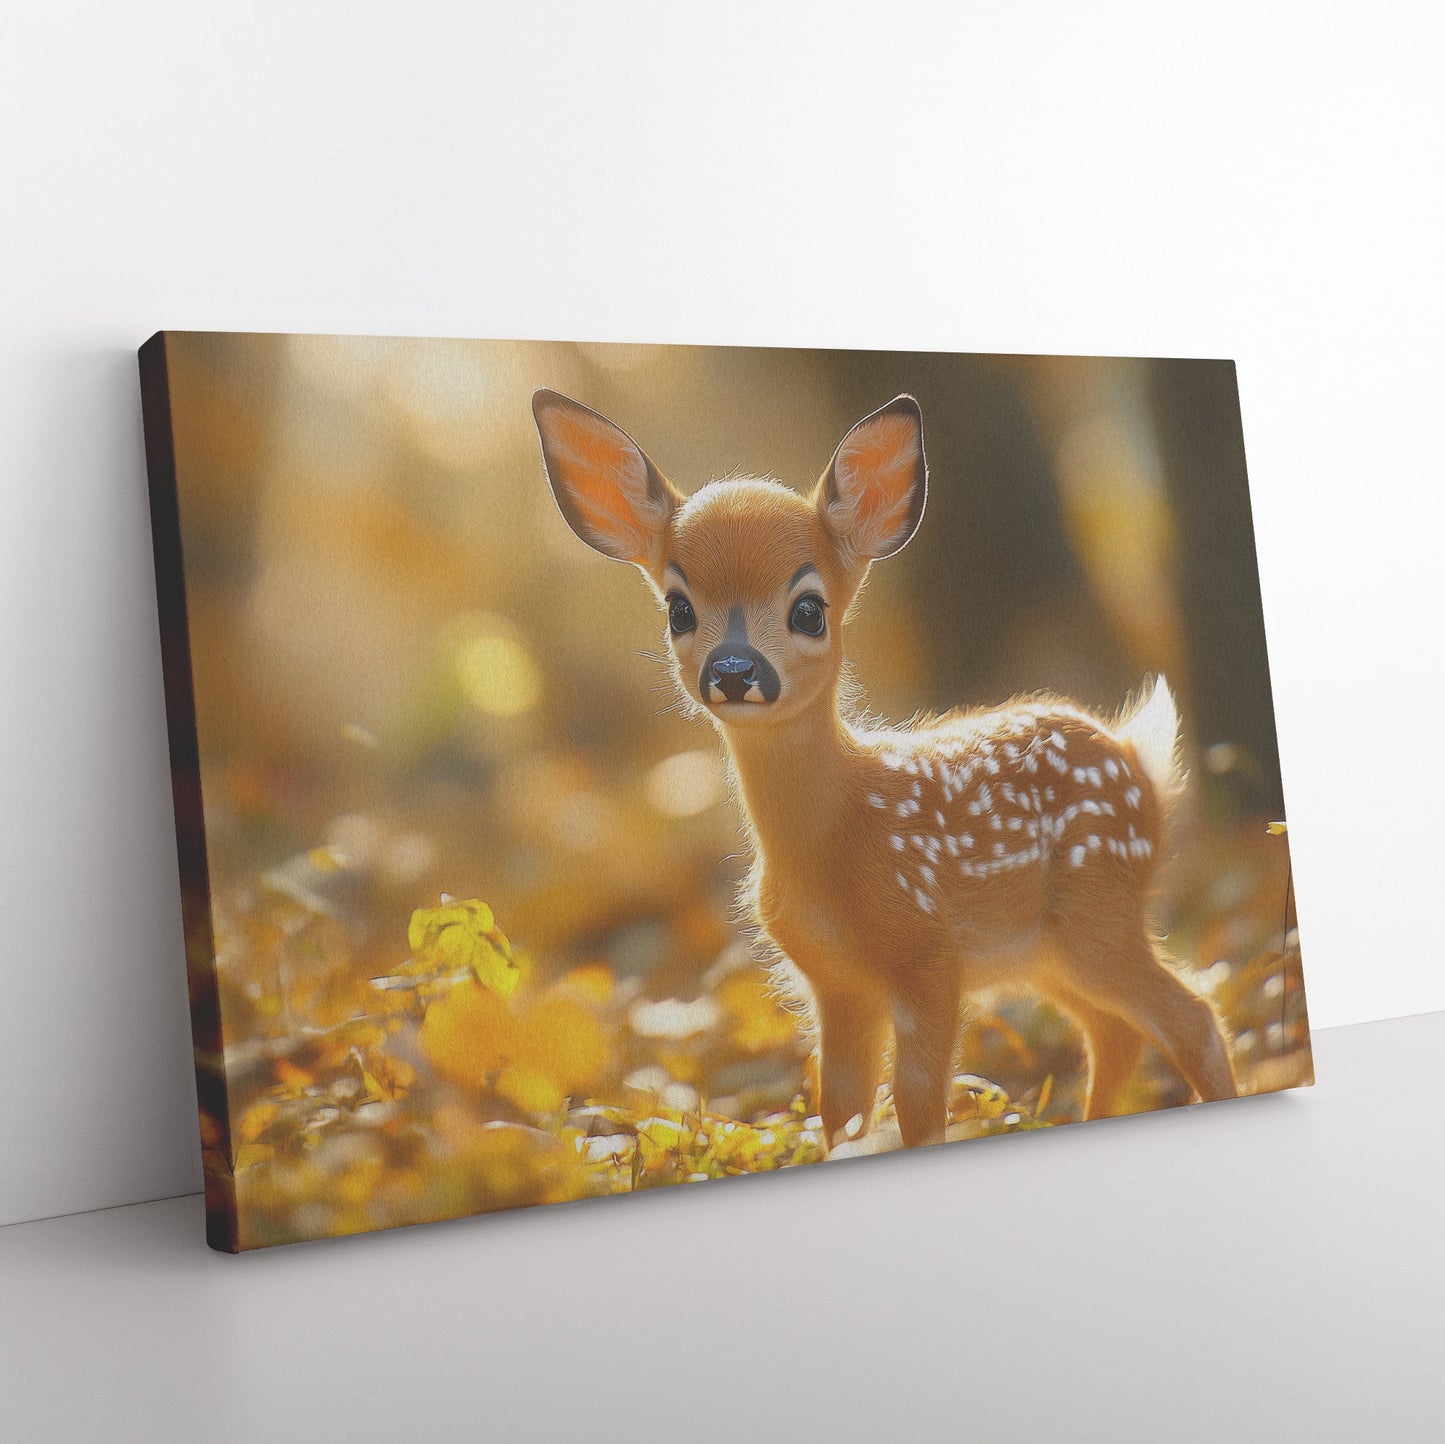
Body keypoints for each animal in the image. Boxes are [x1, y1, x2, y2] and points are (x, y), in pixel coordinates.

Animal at [532, 388, 1238, 1152]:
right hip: (1047, 949)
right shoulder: (834, 981)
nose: (734, 671)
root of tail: (1137, 756)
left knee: (1192, 1015)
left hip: (1097, 909)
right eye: (678, 609)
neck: (835, 833)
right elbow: (839, 1108)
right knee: (1114, 1032)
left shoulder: (926, 953)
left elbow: (918, 1104)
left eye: (809, 609)